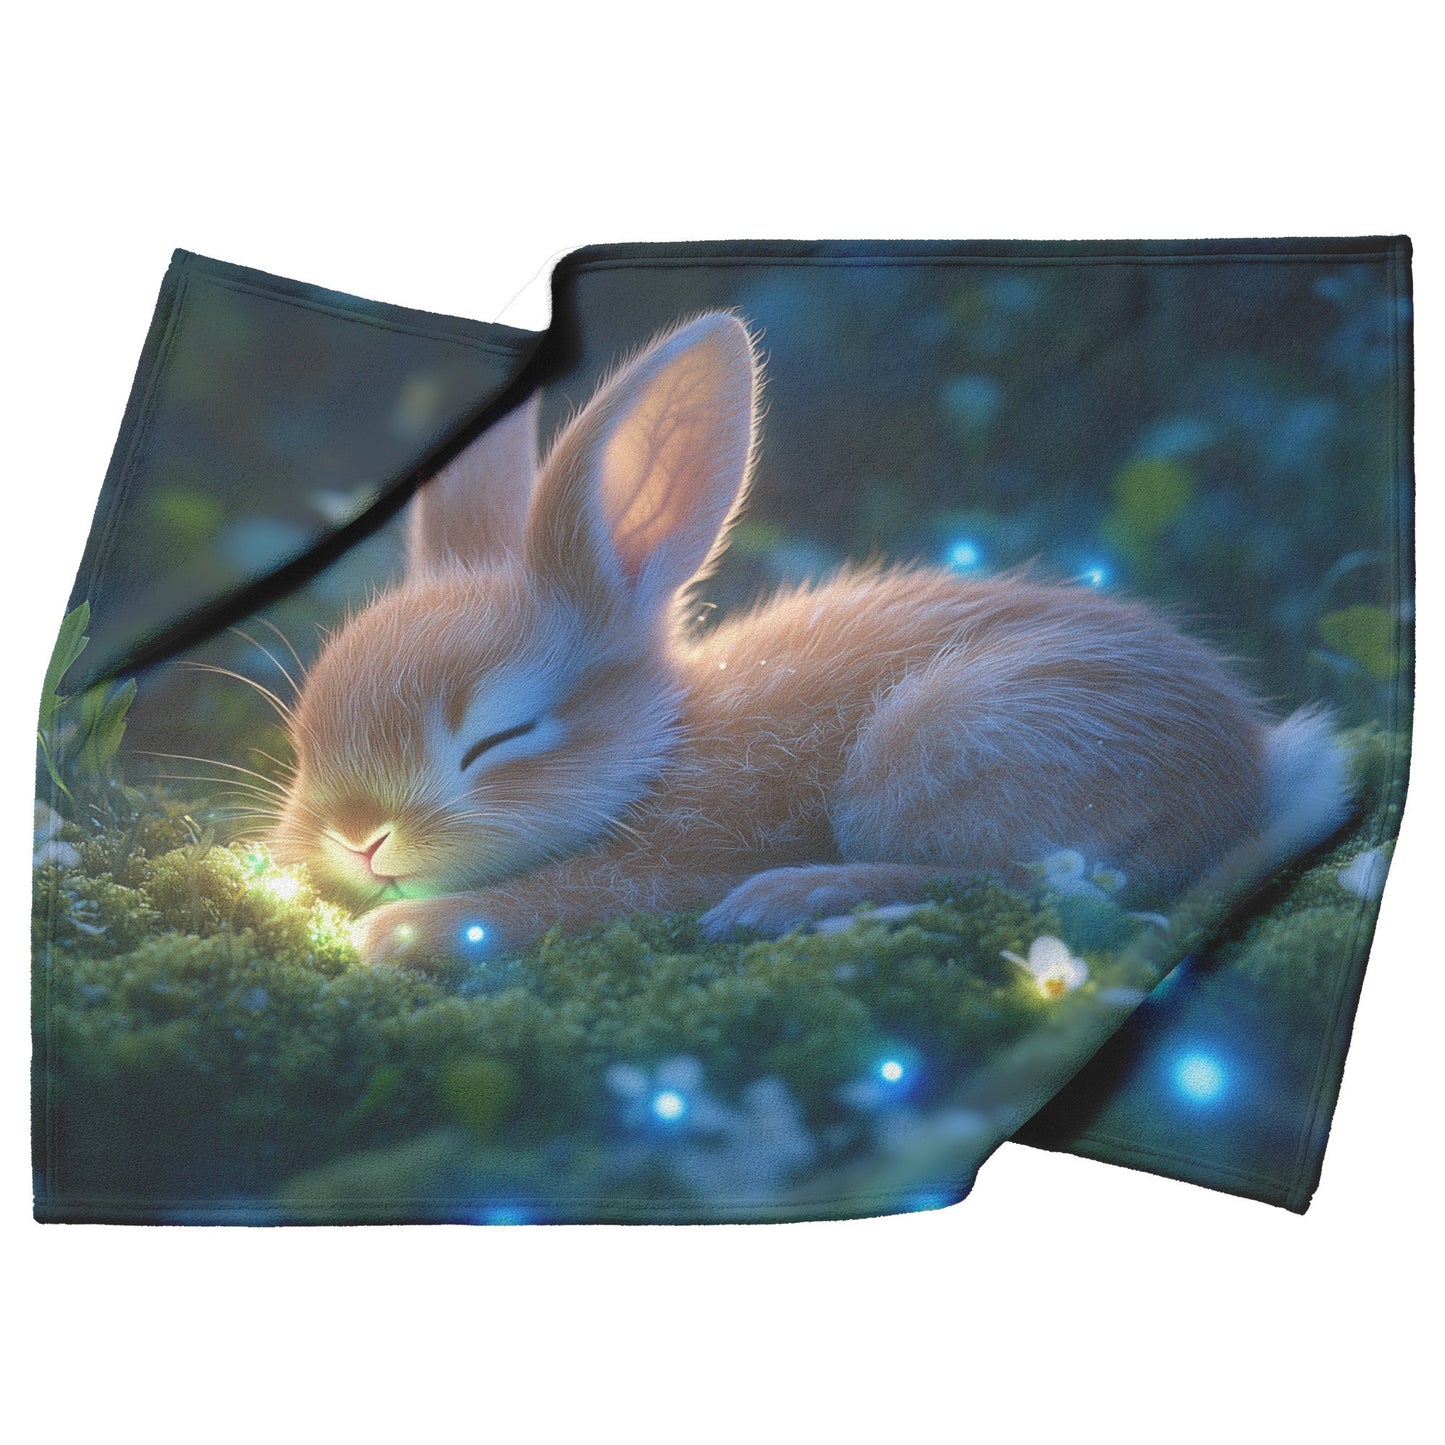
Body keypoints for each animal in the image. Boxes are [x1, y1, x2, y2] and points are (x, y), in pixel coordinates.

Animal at [269, 312, 1351, 964]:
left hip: (934, 752)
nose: (353, 836)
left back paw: (789, 897)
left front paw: (399, 932)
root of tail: (1248, 776)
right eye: (301, 740)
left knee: (1056, 887)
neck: (662, 749)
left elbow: (558, 898)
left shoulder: (674, 852)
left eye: (500, 736)